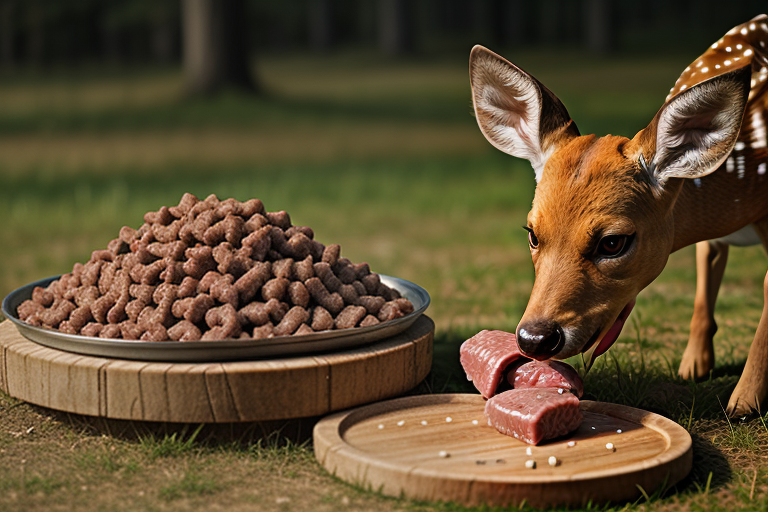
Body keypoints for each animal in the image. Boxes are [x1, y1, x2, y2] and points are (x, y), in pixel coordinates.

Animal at [469, 14, 768, 417]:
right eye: (532, 233)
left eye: (612, 243)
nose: (535, 338)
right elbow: (706, 267)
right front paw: (693, 366)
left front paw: (744, 402)